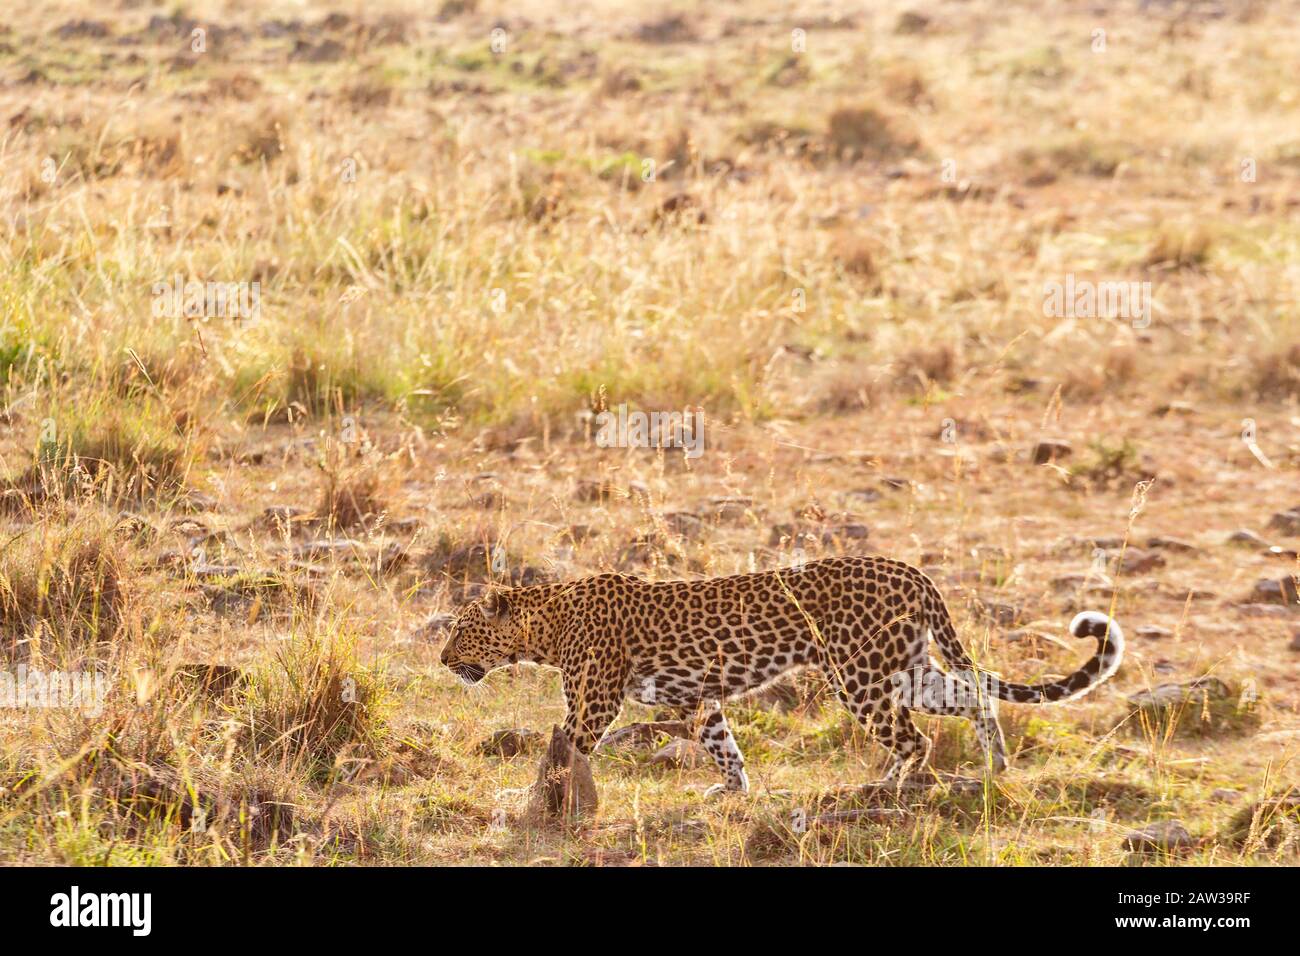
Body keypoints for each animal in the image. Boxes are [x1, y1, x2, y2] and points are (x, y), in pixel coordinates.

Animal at [440, 555, 1124, 795]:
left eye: (462, 629)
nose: (443, 660)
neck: (545, 626)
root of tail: (911, 569)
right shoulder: (700, 701)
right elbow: (724, 746)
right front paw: (734, 792)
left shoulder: (596, 701)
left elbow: (570, 747)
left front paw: (539, 796)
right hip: (904, 668)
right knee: (974, 696)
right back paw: (995, 764)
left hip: (860, 677)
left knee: (913, 739)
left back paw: (886, 788)